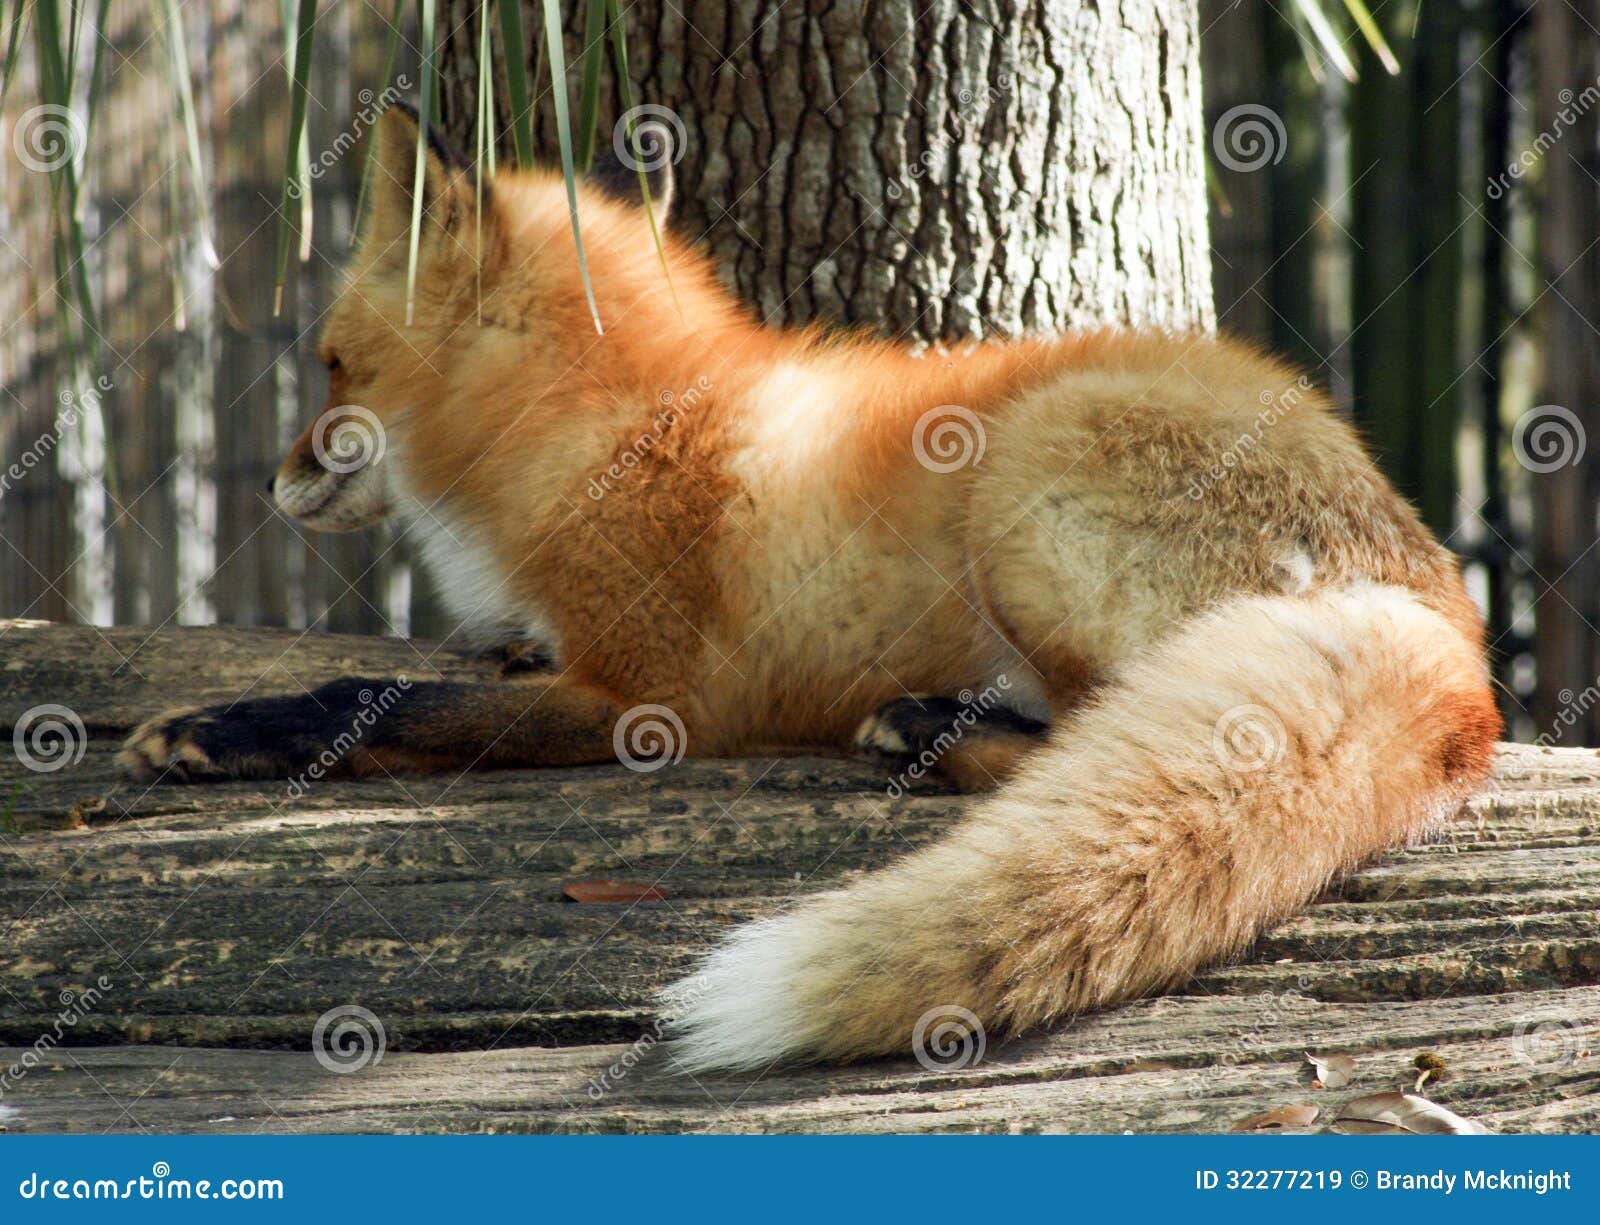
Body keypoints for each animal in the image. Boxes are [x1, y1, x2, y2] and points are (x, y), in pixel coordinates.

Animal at [118, 104, 1502, 1072]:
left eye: (331, 365)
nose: (274, 484)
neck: (593, 430)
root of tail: (1443, 622)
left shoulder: (649, 698)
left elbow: (381, 694)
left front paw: (223, 731)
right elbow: (445, 676)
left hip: (1021, 486)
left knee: (1089, 726)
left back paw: (925, 729)